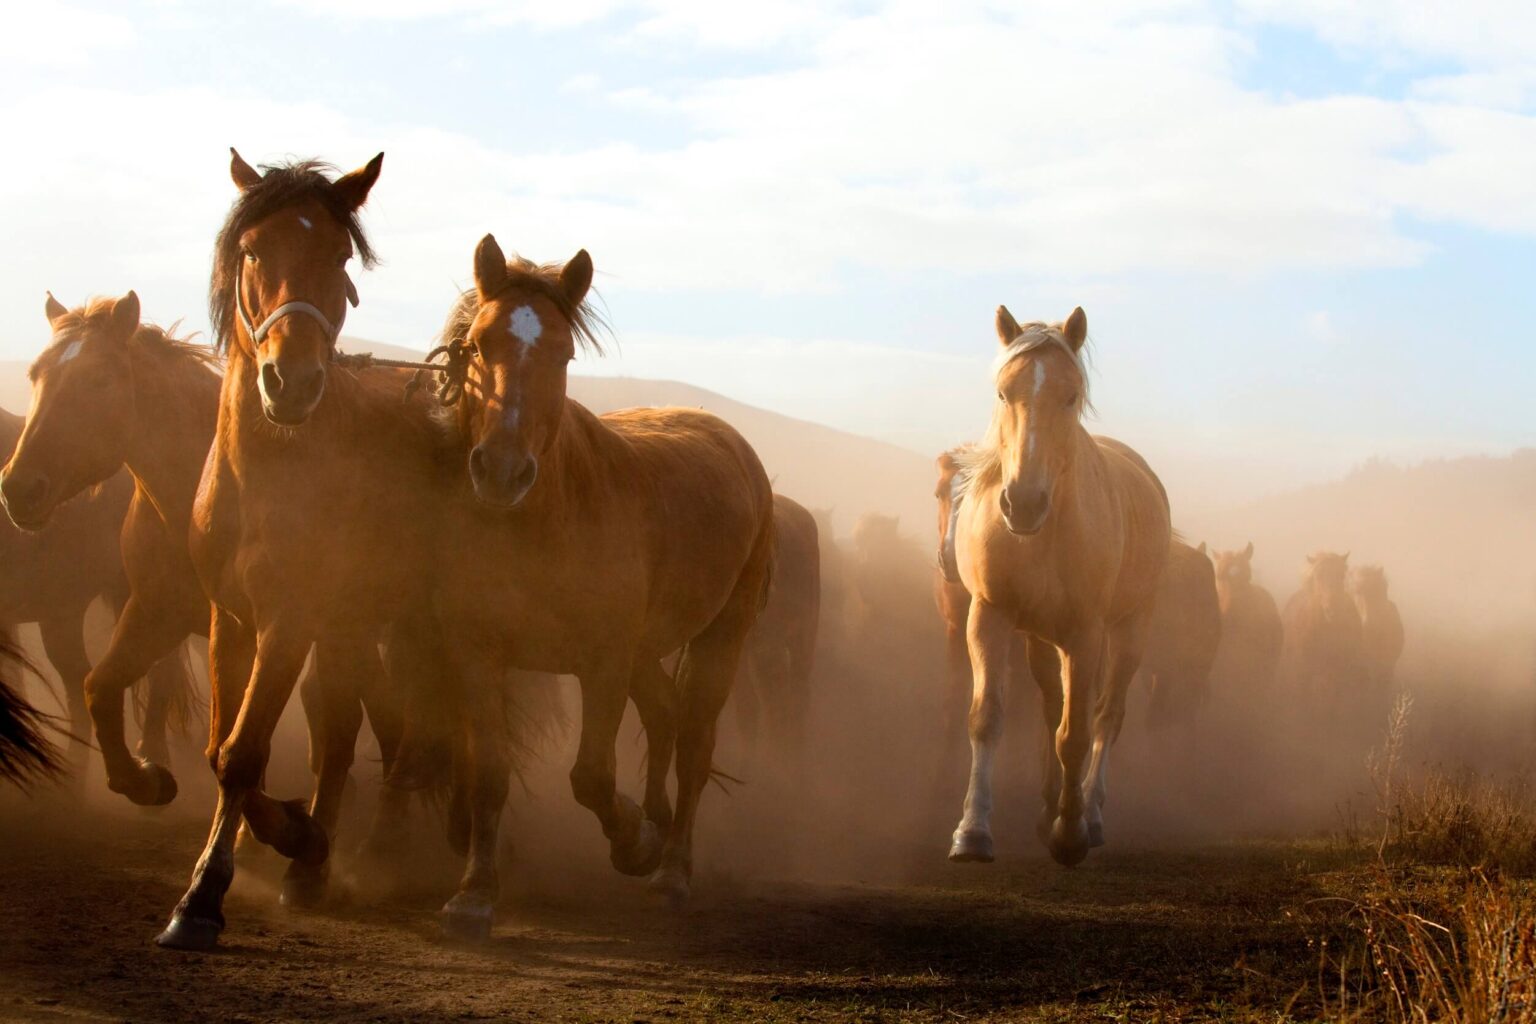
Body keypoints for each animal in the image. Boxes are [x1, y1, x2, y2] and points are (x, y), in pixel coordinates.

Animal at [155, 151, 458, 950]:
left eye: (339, 257)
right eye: (254, 251)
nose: (290, 383)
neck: (270, 468)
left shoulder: (287, 621)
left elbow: (242, 753)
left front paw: (204, 896)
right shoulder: (233, 619)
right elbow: (223, 749)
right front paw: (291, 839)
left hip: (406, 628)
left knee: (408, 731)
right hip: (349, 627)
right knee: (353, 729)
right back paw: (319, 863)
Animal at [428, 233, 774, 933]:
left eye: (562, 353)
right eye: (477, 344)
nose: (501, 471)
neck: (544, 520)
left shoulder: (603, 662)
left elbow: (590, 775)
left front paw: (633, 842)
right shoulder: (478, 654)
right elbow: (489, 772)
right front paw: (474, 893)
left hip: (721, 633)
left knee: (694, 743)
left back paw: (670, 868)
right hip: (645, 649)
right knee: (665, 717)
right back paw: (659, 825)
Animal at [948, 306, 1171, 867]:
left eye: (1070, 396)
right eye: (1004, 392)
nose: (1023, 503)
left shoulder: (1086, 634)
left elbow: (1077, 734)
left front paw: (1069, 835)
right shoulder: (989, 616)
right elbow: (987, 719)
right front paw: (973, 831)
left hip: (1130, 629)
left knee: (1106, 717)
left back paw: (1088, 813)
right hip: (1038, 636)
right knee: (1053, 706)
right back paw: (1050, 802)